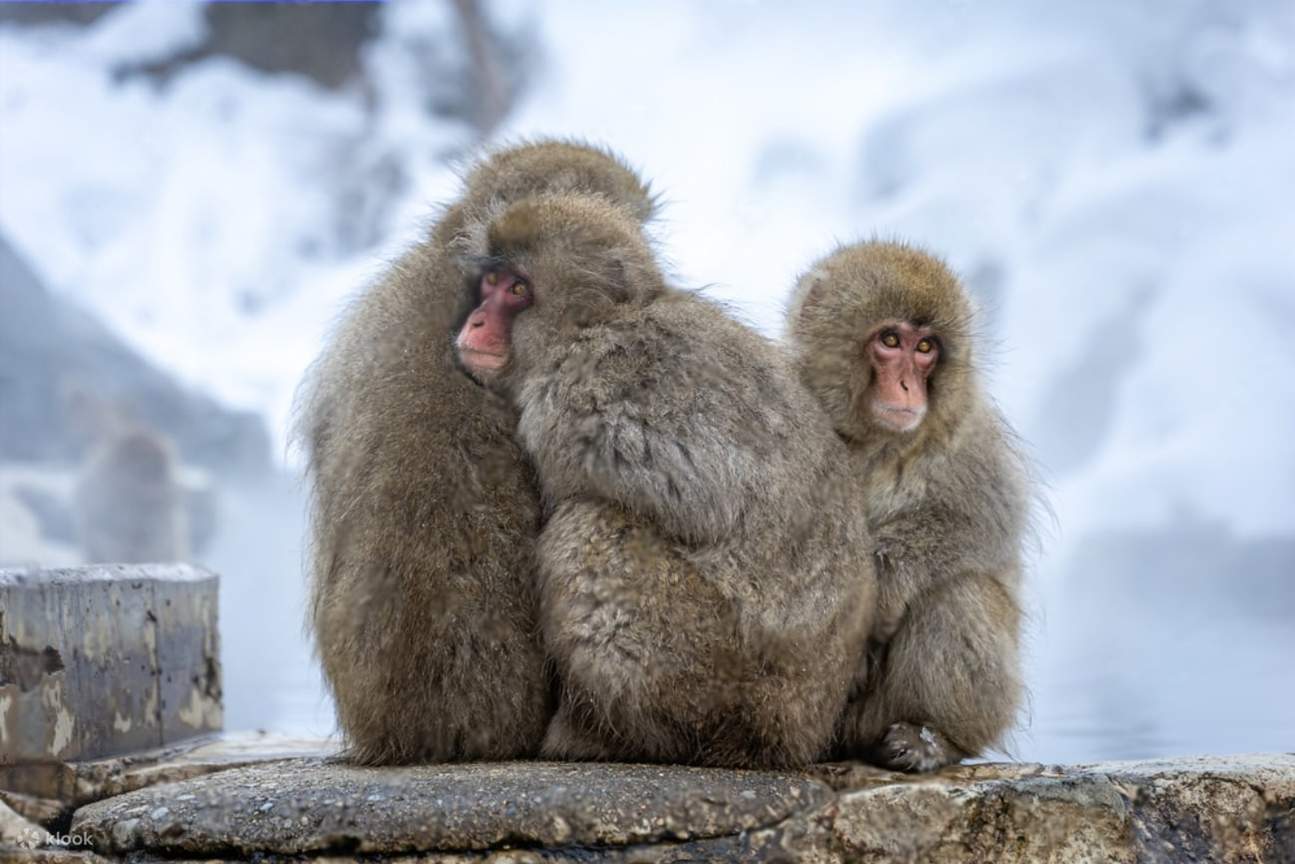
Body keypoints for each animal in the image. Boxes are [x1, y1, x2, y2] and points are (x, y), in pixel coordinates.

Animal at [454, 192, 876, 768]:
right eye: (491, 283)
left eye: (518, 290)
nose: (474, 322)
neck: (589, 327)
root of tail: (797, 733)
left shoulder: (573, 400)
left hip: (714, 670)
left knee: (589, 528)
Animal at [784, 240, 1032, 772]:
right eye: (891, 340)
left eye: (925, 349)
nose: (906, 388)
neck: (871, 440)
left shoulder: (969, 433)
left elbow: (983, 521)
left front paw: (882, 588)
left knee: (958, 592)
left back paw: (932, 738)